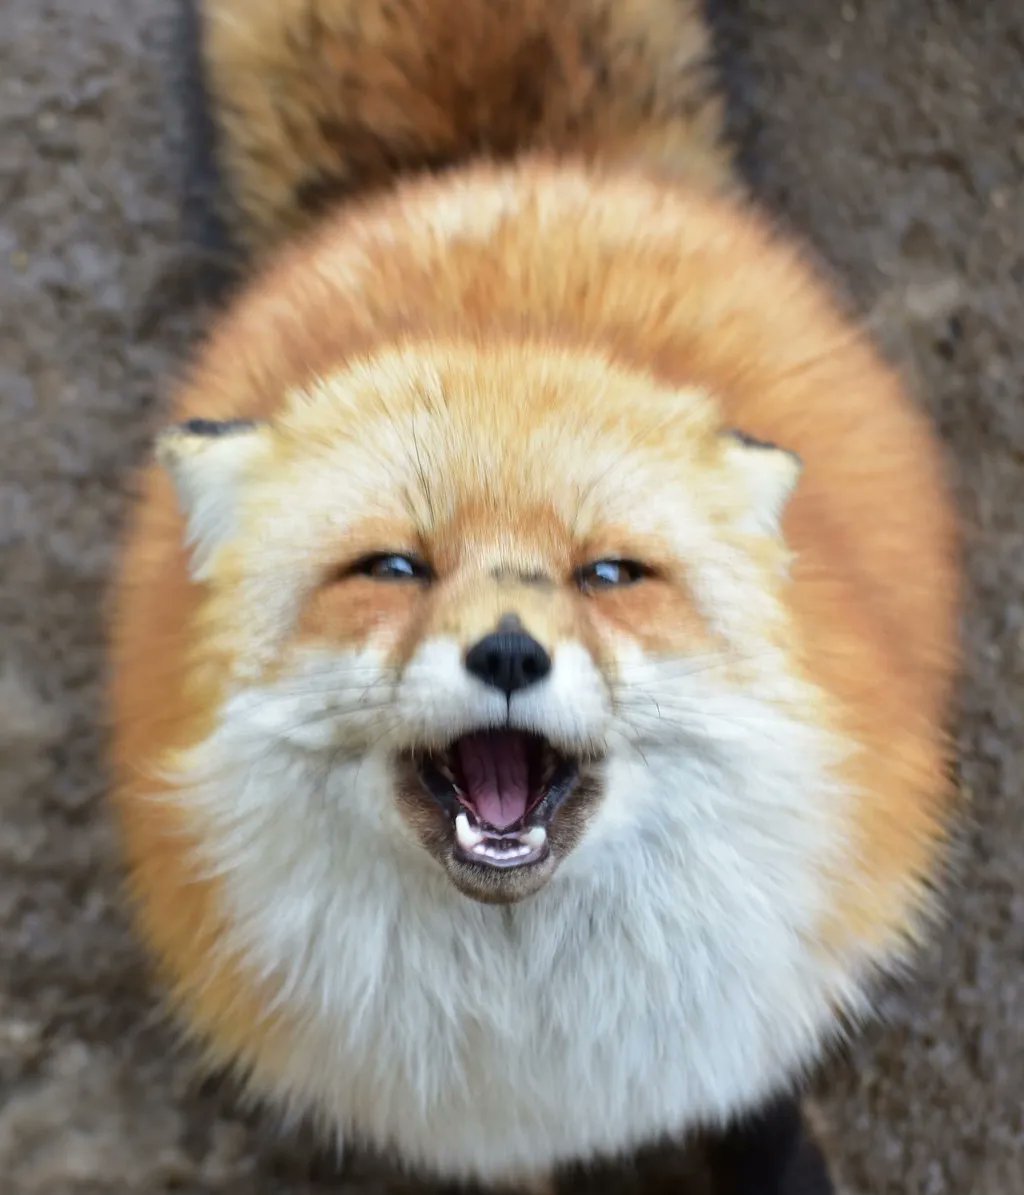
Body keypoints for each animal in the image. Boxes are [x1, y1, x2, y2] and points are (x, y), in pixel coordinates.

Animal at [109, 1, 961, 1193]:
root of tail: (499, 164)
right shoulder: (480, 1137)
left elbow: (769, 1136)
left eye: (608, 574)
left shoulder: (744, 1034)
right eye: (394, 567)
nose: (509, 652)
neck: (542, 1038)